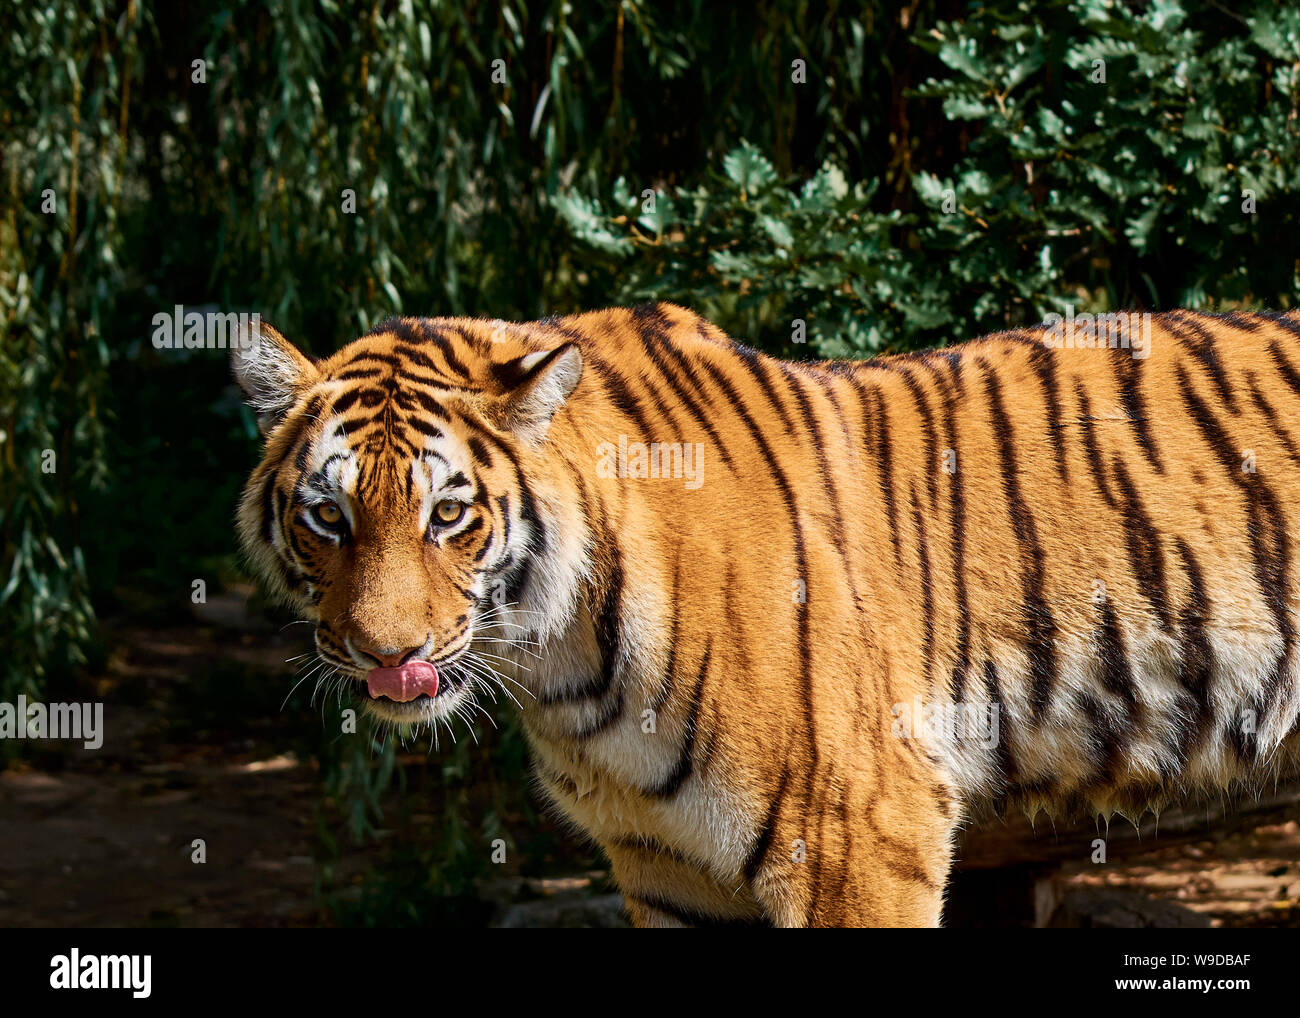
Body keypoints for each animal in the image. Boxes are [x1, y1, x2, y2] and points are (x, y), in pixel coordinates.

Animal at [233, 303, 1300, 927]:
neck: (564, 667)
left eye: (448, 515)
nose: (386, 654)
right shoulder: (666, 865)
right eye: (327, 516)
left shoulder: (859, 837)